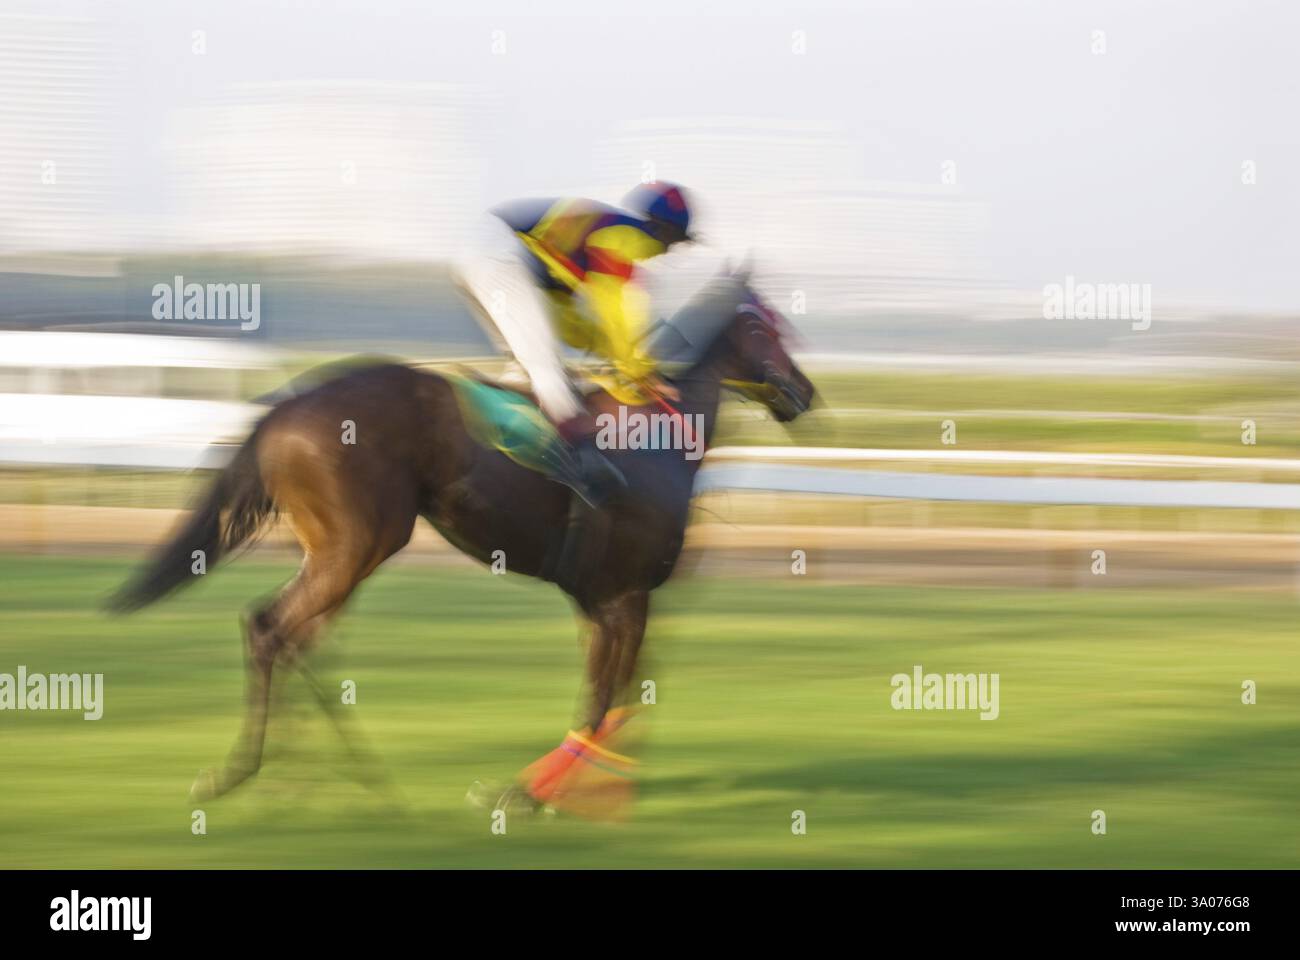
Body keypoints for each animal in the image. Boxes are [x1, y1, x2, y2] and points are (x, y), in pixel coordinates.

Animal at [109, 268, 815, 814]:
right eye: (765, 330)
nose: (805, 391)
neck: (658, 443)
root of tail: (284, 408)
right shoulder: (628, 595)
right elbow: (605, 699)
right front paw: (524, 797)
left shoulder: (601, 602)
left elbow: (614, 694)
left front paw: (576, 797)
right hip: (358, 545)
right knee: (270, 628)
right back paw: (253, 776)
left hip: (339, 550)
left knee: (297, 640)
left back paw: (321, 781)